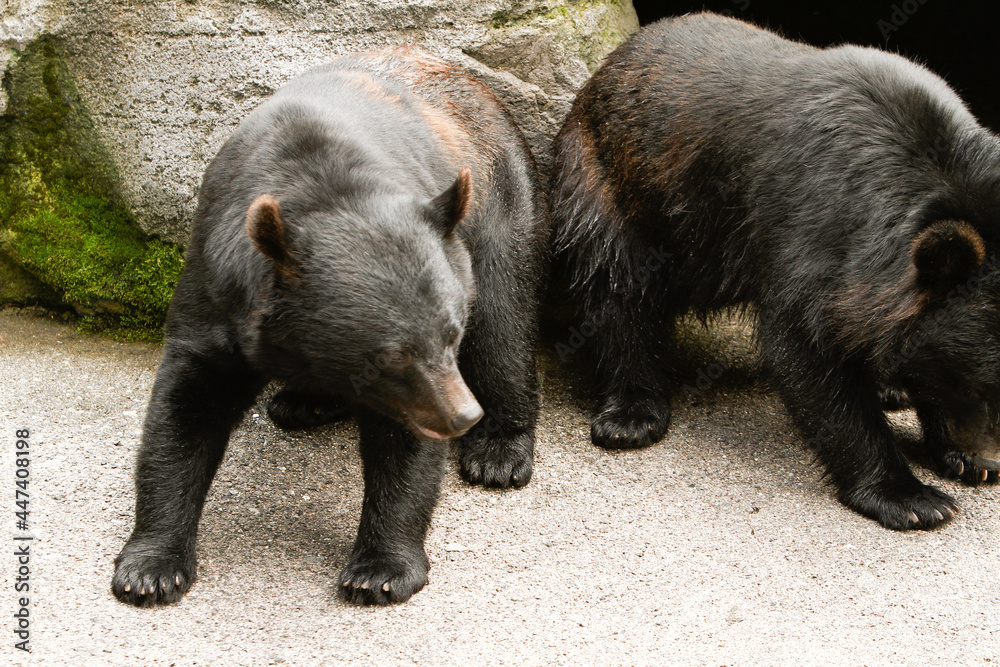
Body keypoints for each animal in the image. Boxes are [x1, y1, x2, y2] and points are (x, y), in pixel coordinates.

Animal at [112, 46, 548, 606]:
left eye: (451, 336)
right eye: (391, 354)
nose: (460, 416)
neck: (322, 187)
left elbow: (403, 444)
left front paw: (380, 569)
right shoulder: (215, 292)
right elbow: (184, 412)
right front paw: (149, 568)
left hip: (495, 199)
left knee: (503, 314)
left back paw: (498, 452)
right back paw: (304, 400)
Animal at [550, 12, 1000, 531]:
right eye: (979, 382)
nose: (991, 459)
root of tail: (606, 67)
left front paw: (958, 458)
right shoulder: (815, 227)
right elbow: (807, 350)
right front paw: (914, 497)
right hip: (612, 186)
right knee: (617, 290)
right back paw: (631, 414)